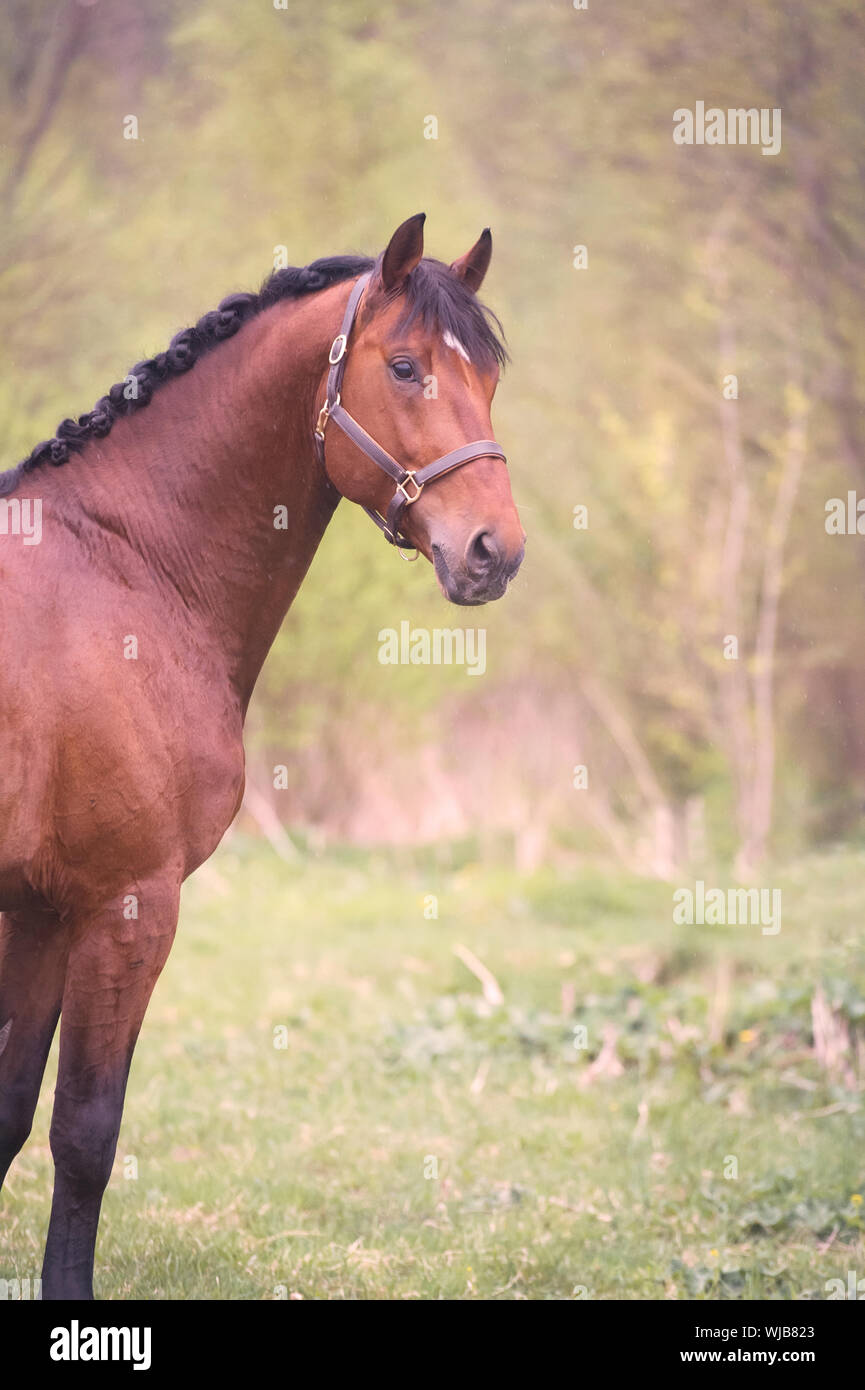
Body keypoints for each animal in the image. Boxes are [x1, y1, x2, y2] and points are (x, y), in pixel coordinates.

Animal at [0, 213, 524, 1299]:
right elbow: (84, 1134)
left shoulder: (38, 908)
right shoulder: (127, 905)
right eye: (404, 365)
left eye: (490, 374)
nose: (495, 550)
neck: (123, 568)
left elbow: (8, 1113)